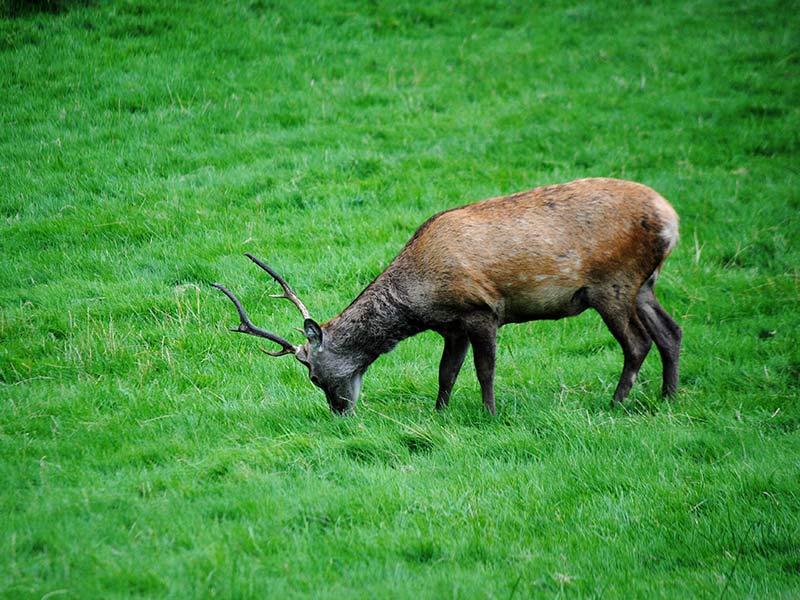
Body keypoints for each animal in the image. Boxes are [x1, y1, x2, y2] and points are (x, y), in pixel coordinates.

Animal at [213, 177, 682, 415]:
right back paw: (668, 396)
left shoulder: (482, 310)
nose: (340, 412)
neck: (421, 300)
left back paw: (615, 403)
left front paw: (491, 415)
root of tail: (671, 218)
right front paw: (439, 414)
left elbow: (484, 370)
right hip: (643, 285)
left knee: (637, 342)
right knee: (671, 332)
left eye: (312, 375)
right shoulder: (451, 327)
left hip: (612, 282)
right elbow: (446, 372)